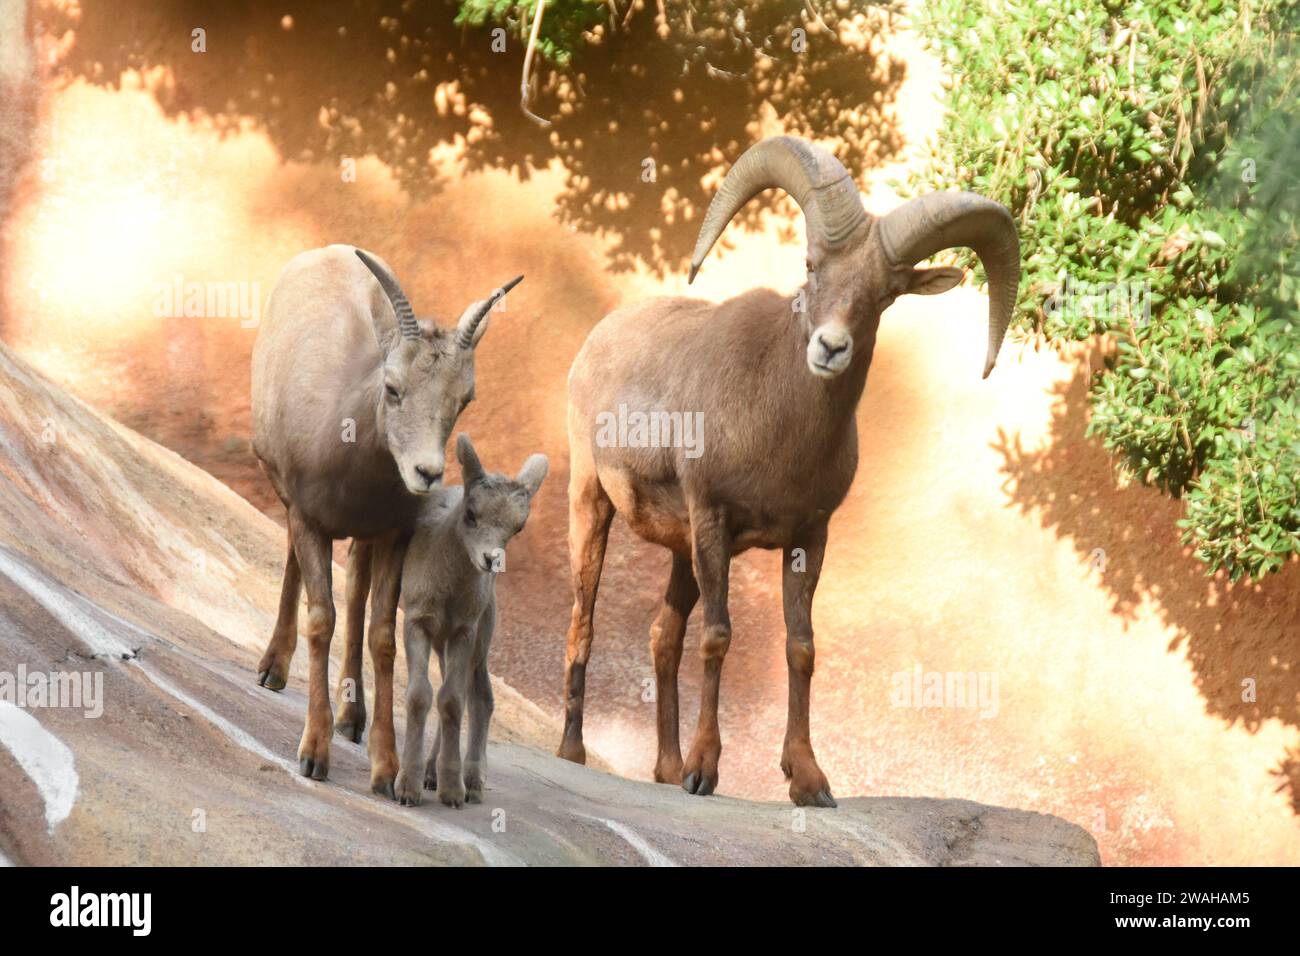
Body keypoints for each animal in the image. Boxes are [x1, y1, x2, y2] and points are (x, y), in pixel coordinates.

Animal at [250, 244, 522, 795]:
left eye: (464, 400)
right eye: (392, 388)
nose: (427, 473)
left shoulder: (394, 533)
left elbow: (380, 634)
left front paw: (385, 768)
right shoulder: (309, 520)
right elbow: (321, 619)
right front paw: (313, 755)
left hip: (364, 537)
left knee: (356, 588)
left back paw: (351, 718)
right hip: (290, 500)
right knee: (297, 567)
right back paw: (272, 671)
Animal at [394, 434, 548, 808]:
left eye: (518, 527)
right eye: (470, 514)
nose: (491, 560)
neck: (449, 590)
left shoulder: (464, 631)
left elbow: (452, 701)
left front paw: (453, 791)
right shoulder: (419, 624)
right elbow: (422, 695)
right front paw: (408, 789)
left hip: (478, 642)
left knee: (480, 696)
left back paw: (473, 782)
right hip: (443, 644)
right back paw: (431, 774)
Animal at [556, 136, 1020, 806]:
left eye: (887, 292)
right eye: (810, 265)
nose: (830, 348)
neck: (778, 434)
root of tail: (599, 338)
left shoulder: (807, 537)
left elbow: (801, 648)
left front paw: (808, 781)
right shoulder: (713, 520)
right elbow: (719, 636)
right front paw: (704, 772)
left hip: (681, 554)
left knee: (662, 635)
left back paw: (665, 769)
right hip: (593, 501)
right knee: (584, 617)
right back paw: (575, 752)